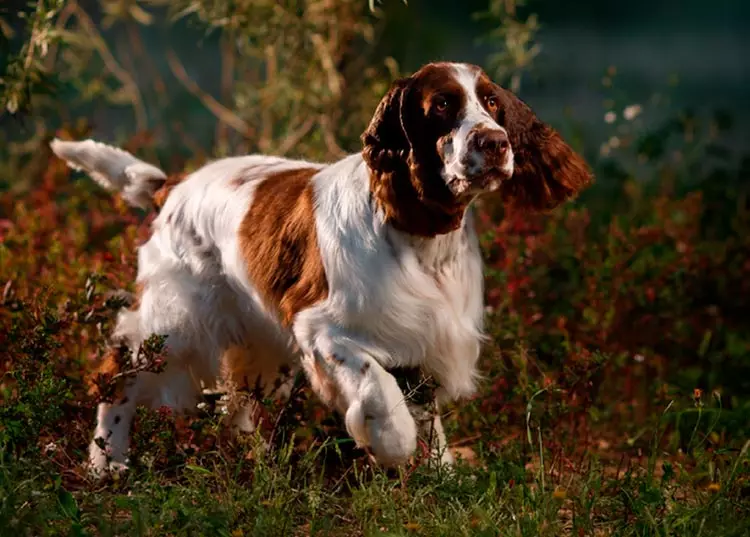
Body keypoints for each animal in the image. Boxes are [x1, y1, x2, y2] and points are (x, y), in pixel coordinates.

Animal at [51, 60, 592, 476]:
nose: (496, 142)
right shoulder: (325, 332)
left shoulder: (423, 334)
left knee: (236, 402)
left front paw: (444, 477)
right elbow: (385, 398)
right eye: (442, 104)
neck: (414, 231)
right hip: (178, 321)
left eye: (492, 103)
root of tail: (172, 187)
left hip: (252, 339)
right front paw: (389, 447)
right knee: (117, 372)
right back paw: (107, 463)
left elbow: (428, 416)